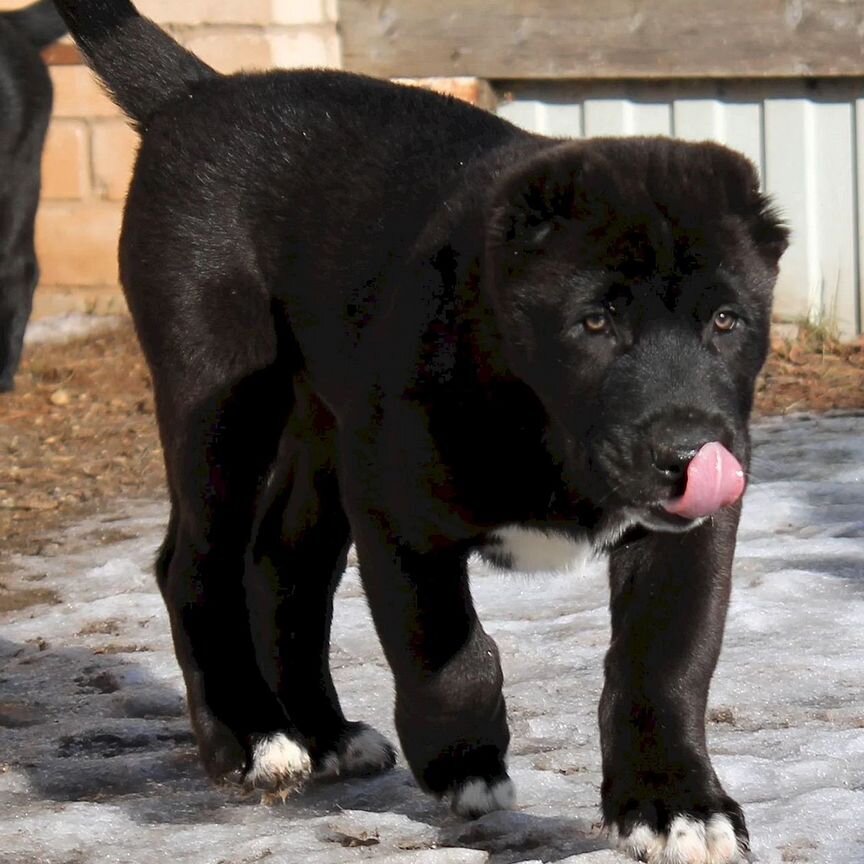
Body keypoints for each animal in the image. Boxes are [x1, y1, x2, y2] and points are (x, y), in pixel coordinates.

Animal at [50, 3, 788, 860]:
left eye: (726, 321)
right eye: (595, 323)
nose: (686, 453)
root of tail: (198, 95)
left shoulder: (689, 532)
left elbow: (665, 660)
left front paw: (676, 805)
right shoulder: (397, 509)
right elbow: (444, 649)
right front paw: (463, 761)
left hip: (319, 433)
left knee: (284, 562)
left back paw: (326, 734)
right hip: (219, 401)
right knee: (197, 566)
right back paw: (251, 738)